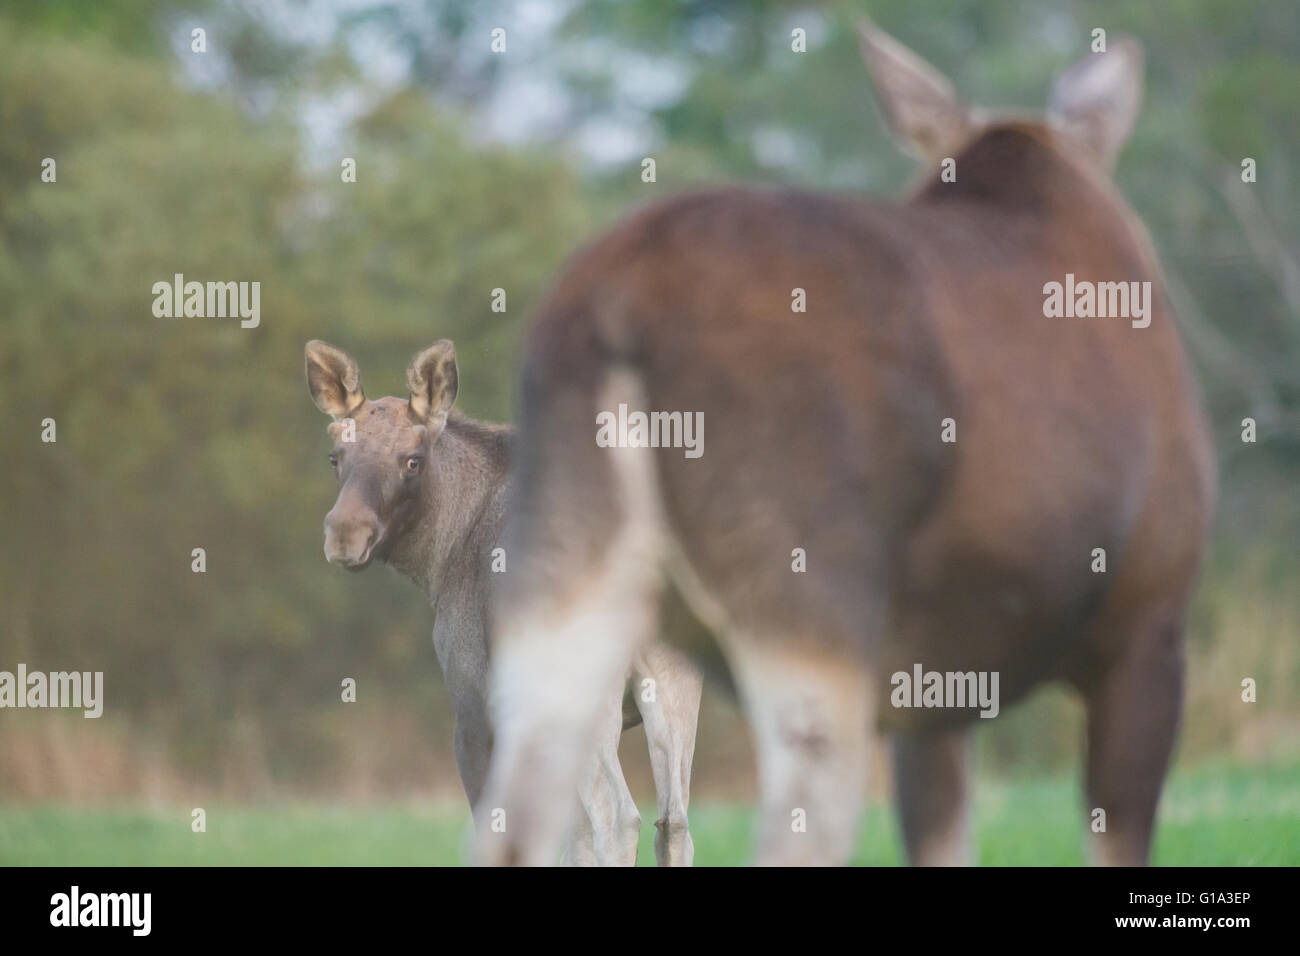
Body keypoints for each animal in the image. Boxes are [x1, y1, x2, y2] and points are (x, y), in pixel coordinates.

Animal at [304, 339, 703, 865]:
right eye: (335, 456)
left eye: (413, 460)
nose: (345, 534)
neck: (439, 558)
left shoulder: (475, 709)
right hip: (675, 682)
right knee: (673, 823)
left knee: (619, 818)